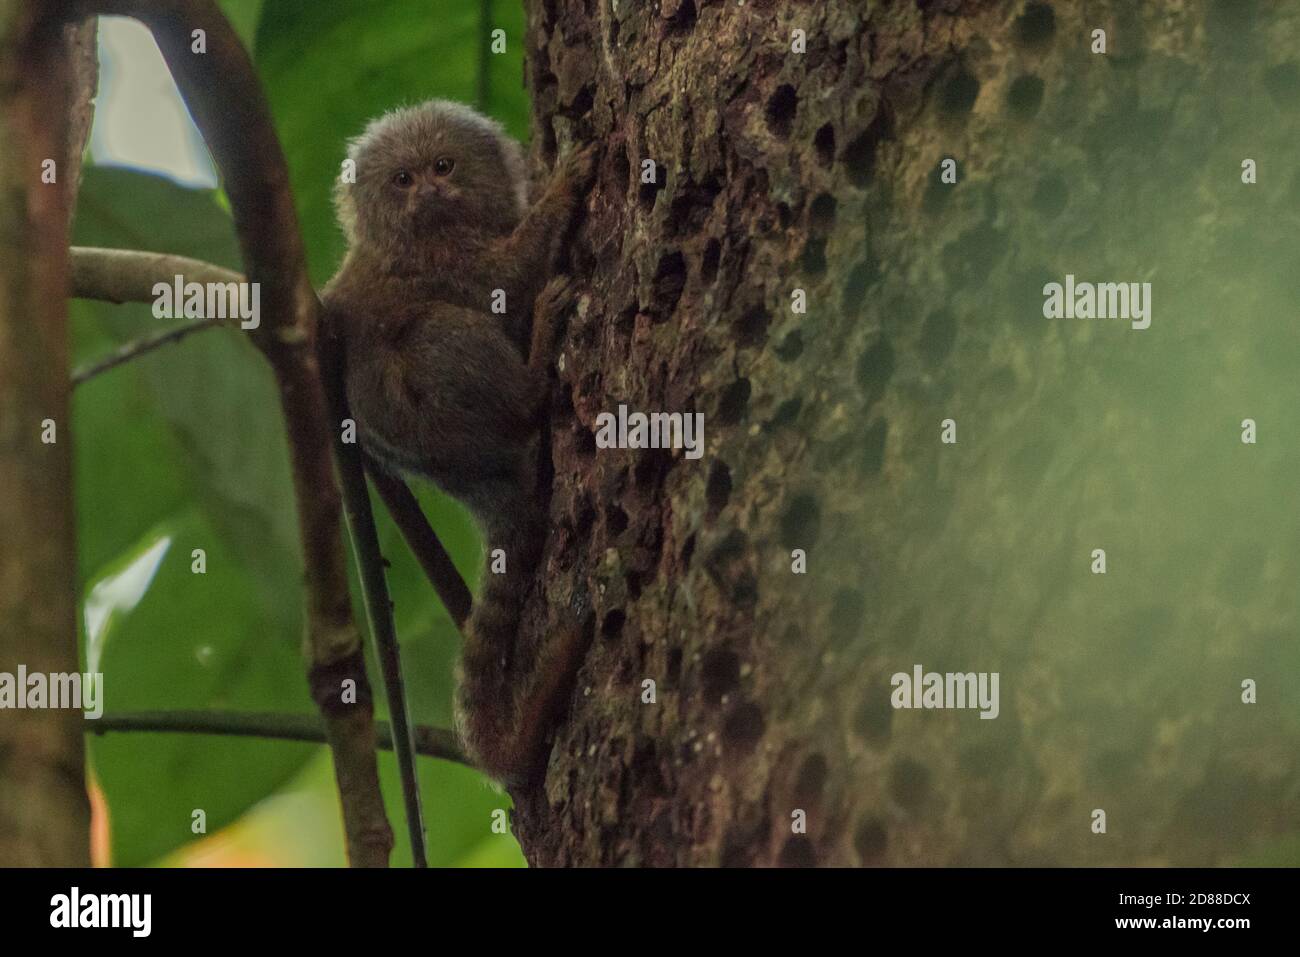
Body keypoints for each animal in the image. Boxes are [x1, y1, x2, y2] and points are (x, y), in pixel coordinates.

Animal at [321, 99, 597, 787]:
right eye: (402, 180)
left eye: (443, 166)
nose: (429, 191)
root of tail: (473, 476)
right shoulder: (439, 262)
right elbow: (499, 278)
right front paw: (561, 189)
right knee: (438, 334)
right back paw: (536, 370)